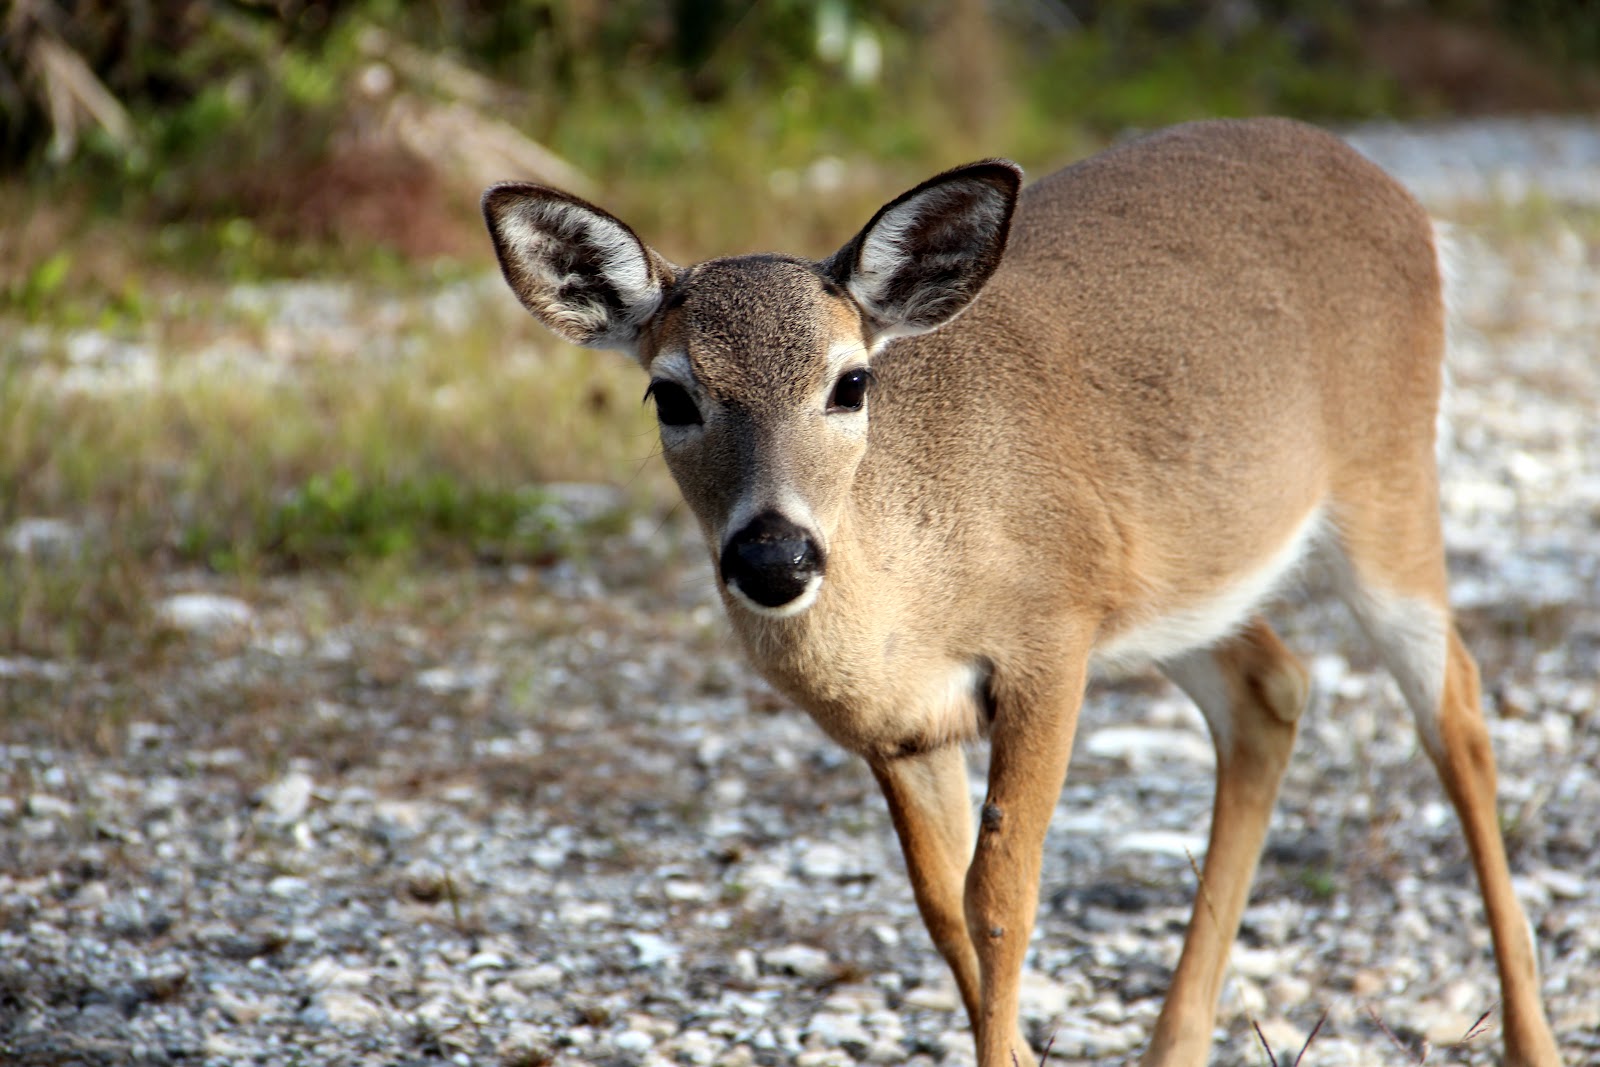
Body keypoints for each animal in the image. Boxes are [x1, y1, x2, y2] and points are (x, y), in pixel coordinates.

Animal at [481, 117, 1563, 1067]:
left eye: (849, 382)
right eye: (670, 393)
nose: (773, 555)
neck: (904, 592)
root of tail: (1404, 200)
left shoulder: (1050, 633)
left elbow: (1001, 895)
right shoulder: (904, 725)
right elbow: (940, 905)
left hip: (1388, 482)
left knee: (1458, 712)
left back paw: (1531, 1039)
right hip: (1175, 580)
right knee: (1272, 688)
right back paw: (1173, 1045)